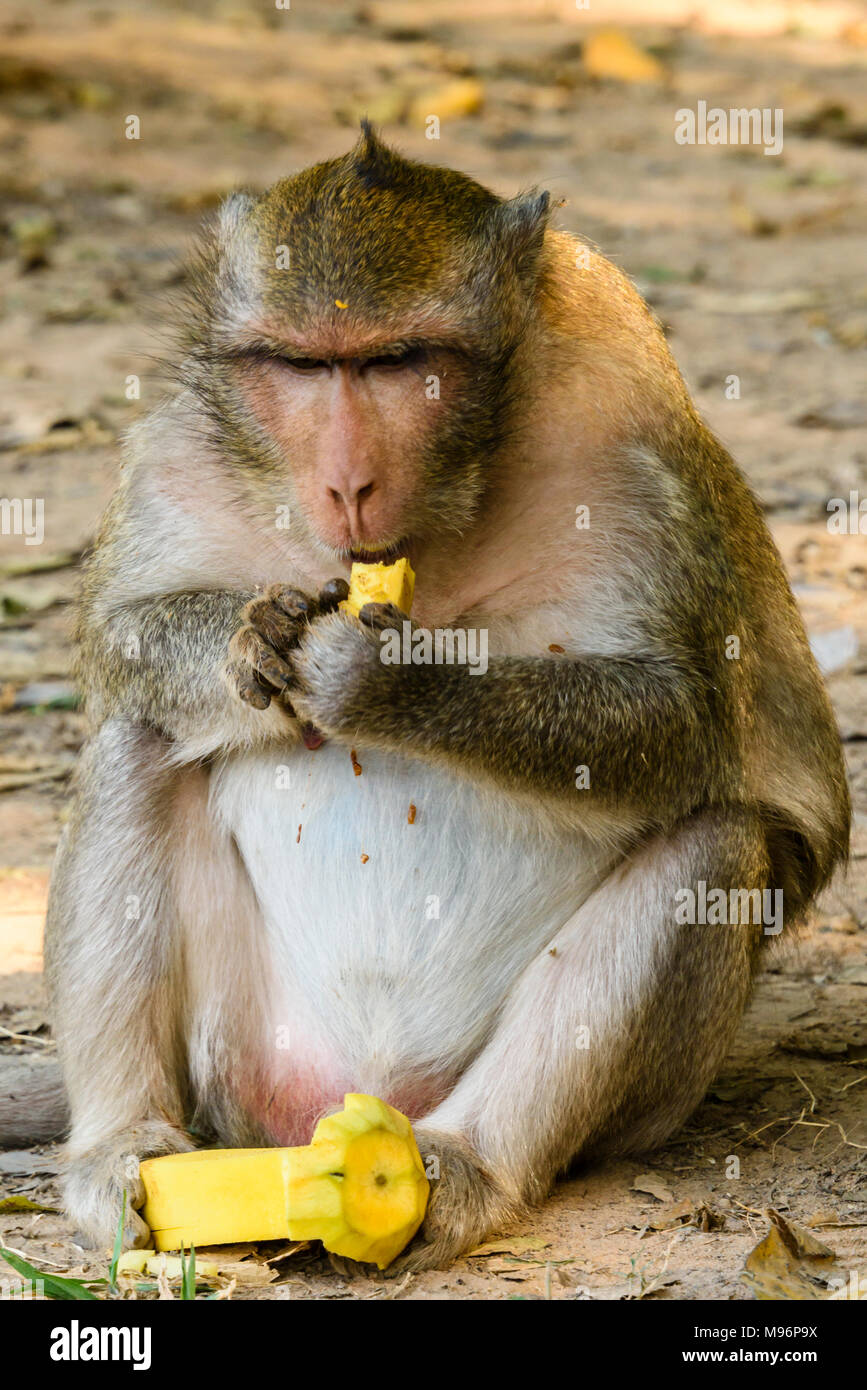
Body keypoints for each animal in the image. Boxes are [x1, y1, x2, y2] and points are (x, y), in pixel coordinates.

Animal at [0, 126, 850, 1271]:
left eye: (399, 362)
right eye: (303, 364)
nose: (347, 483)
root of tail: (348, 1096)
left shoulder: (636, 453)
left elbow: (680, 719)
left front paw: (387, 682)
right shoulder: (177, 444)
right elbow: (117, 634)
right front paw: (249, 641)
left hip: (634, 1102)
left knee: (713, 842)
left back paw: (465, 1161)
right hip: (232, 1052)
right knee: (141, 739)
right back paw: (121, 1142)